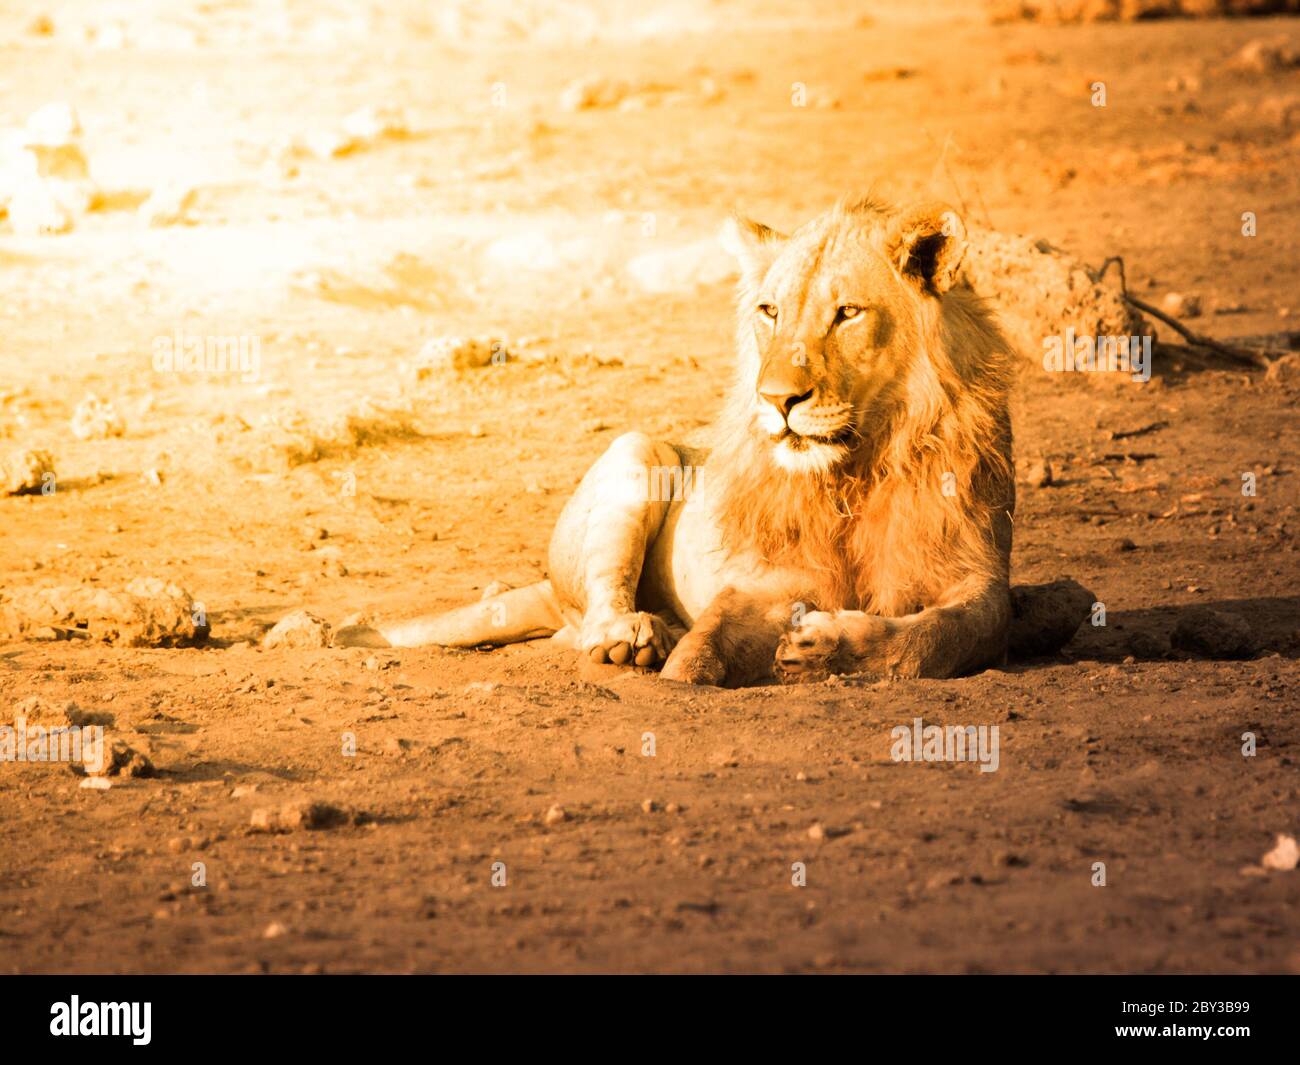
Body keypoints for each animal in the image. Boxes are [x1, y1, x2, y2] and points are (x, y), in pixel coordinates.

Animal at [335, 196, 1081, 685]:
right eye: (770, 311)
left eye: (847, 313)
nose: (778, 400)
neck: (859, 464)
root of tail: (548, 586)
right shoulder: (767, 576)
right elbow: (705, 644)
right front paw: (686, 661)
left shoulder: (975, 573)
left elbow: (939, 634)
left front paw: (824, 647)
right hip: (637, 454)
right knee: (591, 615)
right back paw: (637, 636)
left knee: (1071, 596)